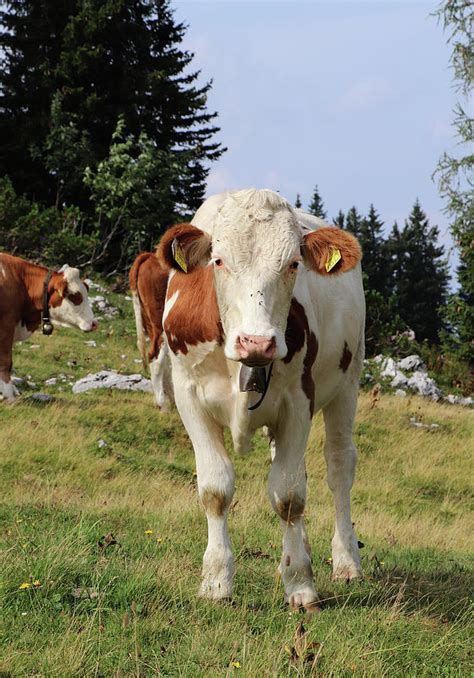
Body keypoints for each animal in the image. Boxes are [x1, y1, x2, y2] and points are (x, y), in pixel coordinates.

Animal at [155, 189, 365, 610]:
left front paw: (300, 584)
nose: (257, 341)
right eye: (218, 260)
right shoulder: (188, 395)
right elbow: (216, 489)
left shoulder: (299, 400)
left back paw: (346, 561)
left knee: (338, 468)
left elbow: (288, 497)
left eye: (293, 263)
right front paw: (217, 581)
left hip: (348, 384)